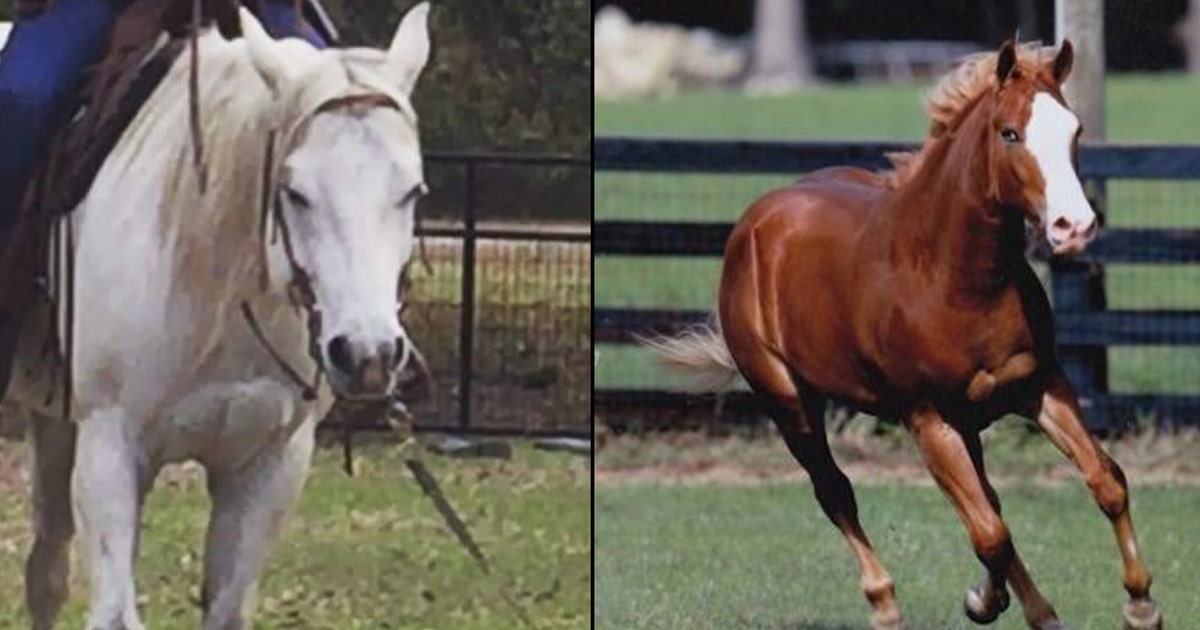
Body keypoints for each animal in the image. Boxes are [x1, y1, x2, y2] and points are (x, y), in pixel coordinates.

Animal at [1, 4, 431, 629]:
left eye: (412, 191)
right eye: (294, 192)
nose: (367, 354)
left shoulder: (270, 465)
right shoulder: (111, 449)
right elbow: (115, 613)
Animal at [643, 41, 1161, 630]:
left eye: (1074, 130)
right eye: (1009, 132)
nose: (1073, 227)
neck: (952, 277)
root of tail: (755, 222)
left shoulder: (1039, 386)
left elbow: (1103, 482)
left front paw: (1140, 605)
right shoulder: (927, 418)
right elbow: (990, 532)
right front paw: (986, 601)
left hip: (966, 419)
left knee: (986, 499)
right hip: (788, 399)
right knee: (835, 491)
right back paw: (885, 604)